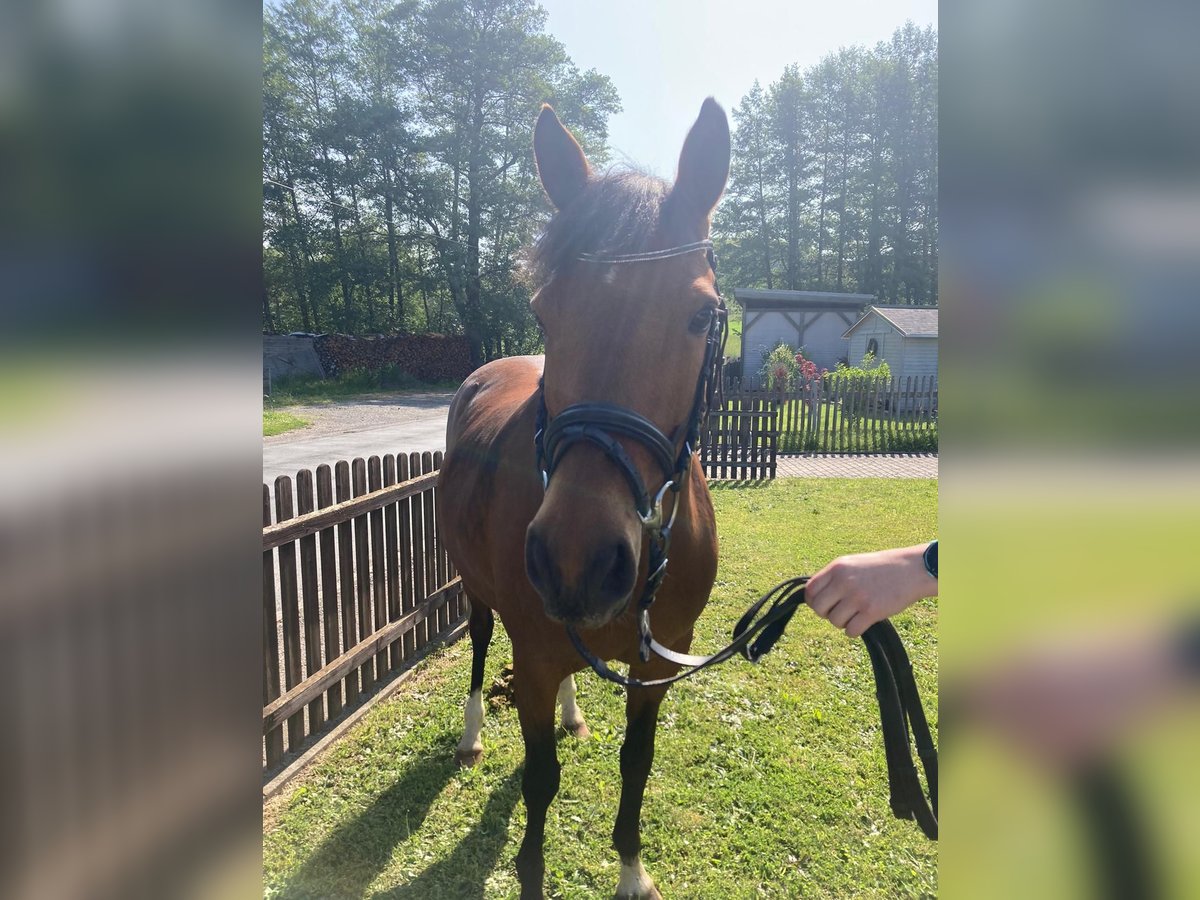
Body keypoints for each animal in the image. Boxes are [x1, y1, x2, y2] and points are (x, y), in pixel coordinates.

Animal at [438, 97, 730, 900]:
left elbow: (637, 766)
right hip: (477, 590)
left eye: (701, 316)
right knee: (479, 644)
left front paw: (630, 868)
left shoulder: (657, 665)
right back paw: (472, 735)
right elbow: (540, 780)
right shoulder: (533, 659)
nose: (577, 559)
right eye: (545, 314)